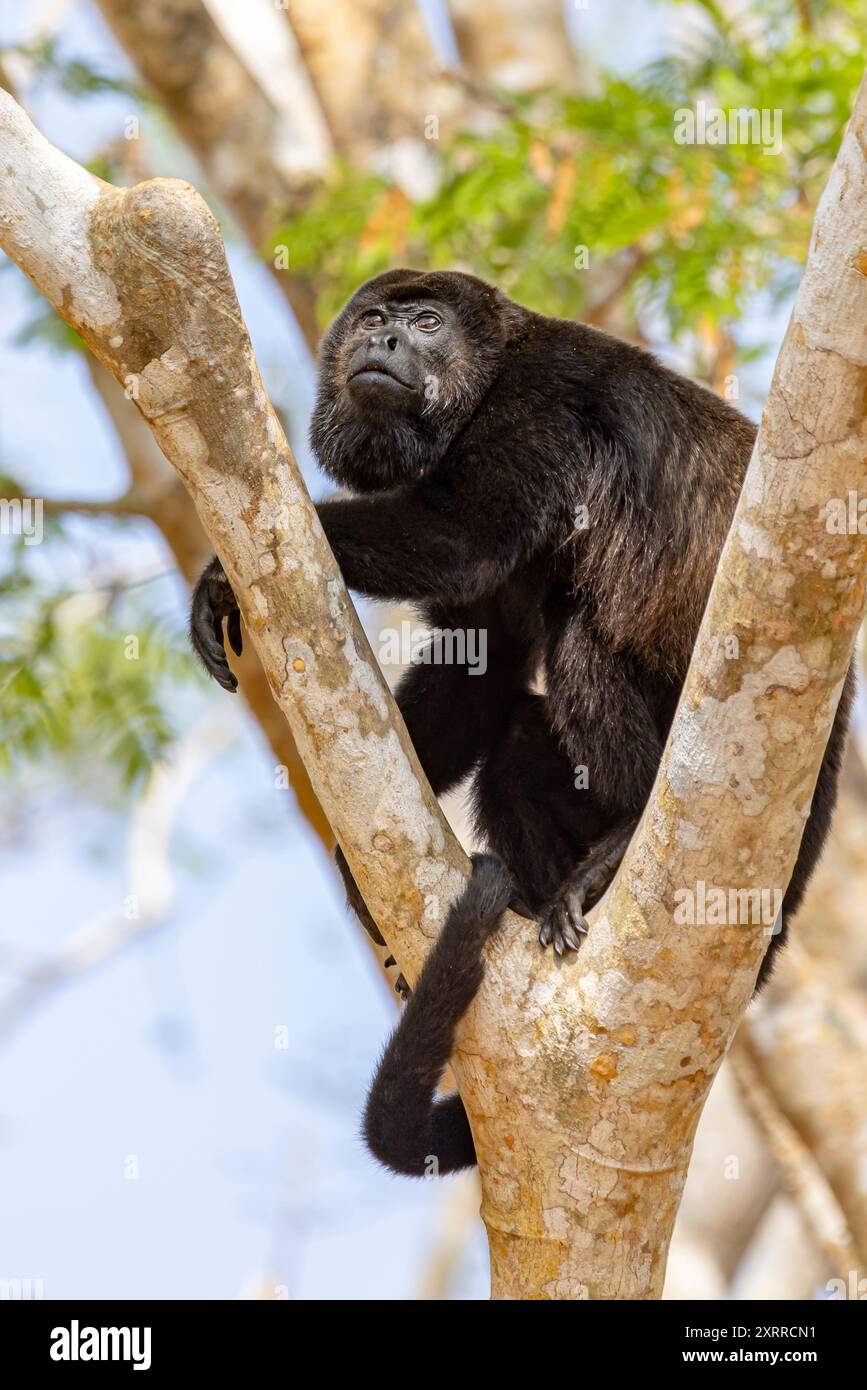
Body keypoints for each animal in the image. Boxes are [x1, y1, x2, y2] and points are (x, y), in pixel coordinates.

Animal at [190, 268, 853, 1177]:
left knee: (581, 632)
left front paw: (217, 575)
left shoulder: (534, 410)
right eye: (373, 317)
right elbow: (488, 657)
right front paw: (357, 870)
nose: (381, 341)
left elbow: (462, 540)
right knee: (513, 746)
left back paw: (622, 841)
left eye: (425, 324)